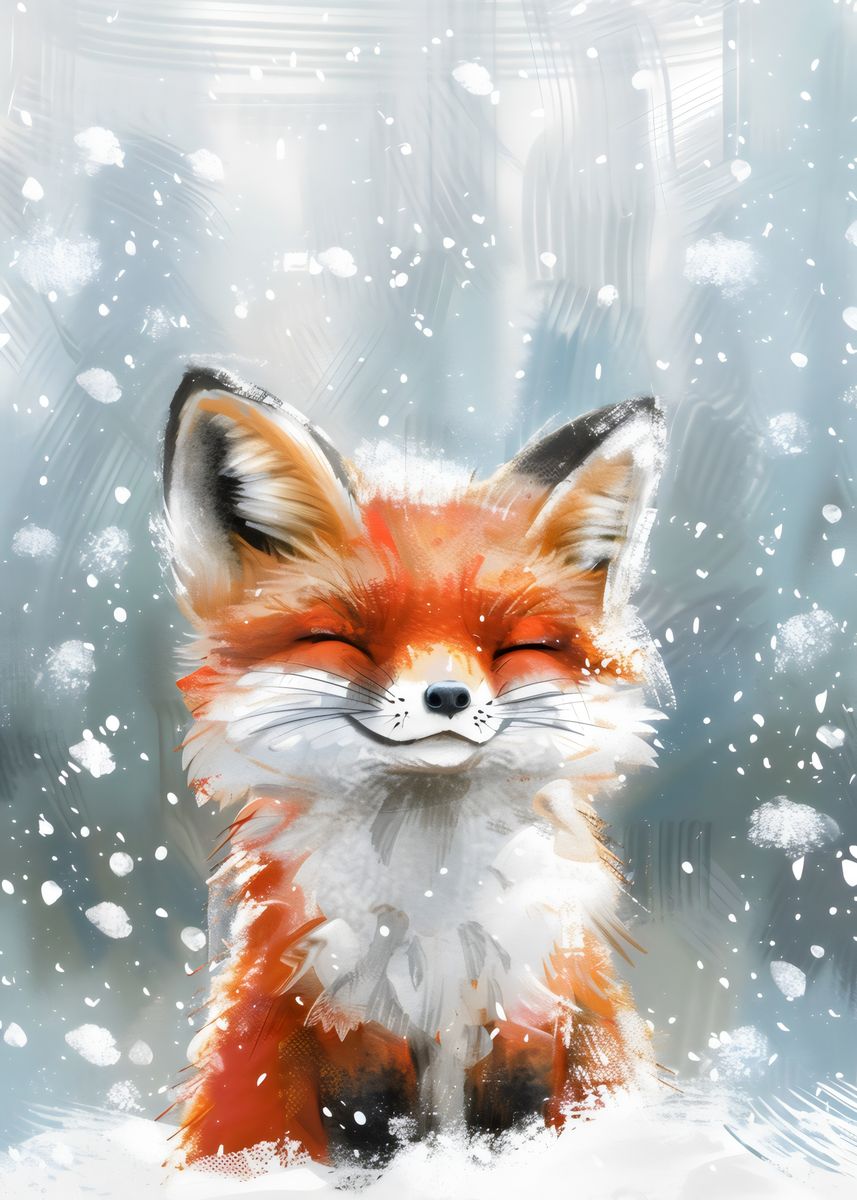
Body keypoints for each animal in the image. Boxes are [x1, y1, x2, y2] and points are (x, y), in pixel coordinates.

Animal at [162, 366, 668, 1170]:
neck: (432, 900)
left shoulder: (529, 1009)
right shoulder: (340, 1014)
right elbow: (371, 1134)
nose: (449, 697)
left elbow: (513, 1127)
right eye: (344, 640)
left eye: (515, 647)